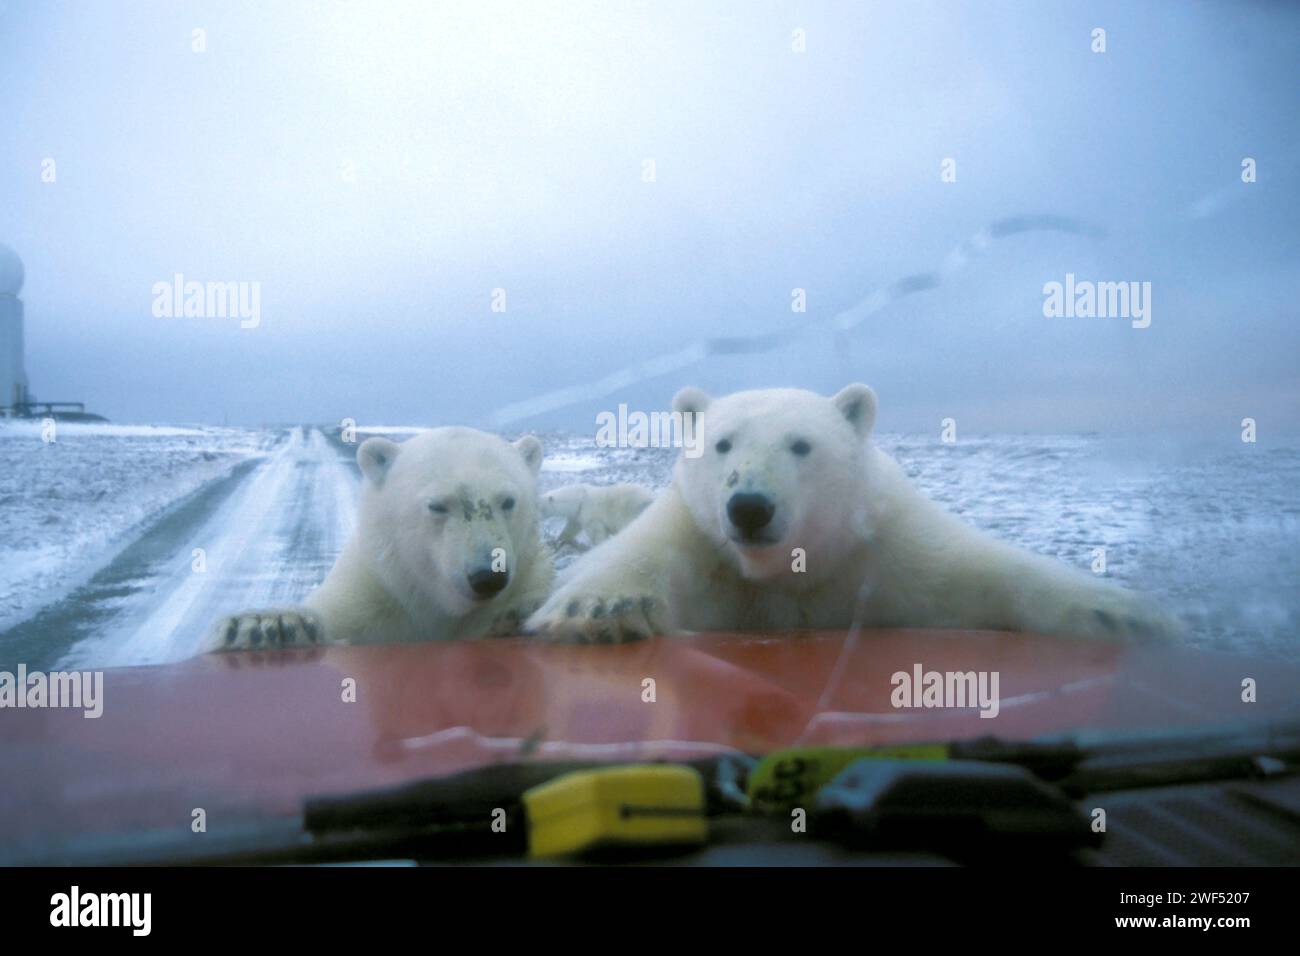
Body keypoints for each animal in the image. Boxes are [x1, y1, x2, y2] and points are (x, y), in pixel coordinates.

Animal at [207, 427, 554, 650]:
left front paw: (520, 617)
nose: (487, 576)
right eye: (438, 505)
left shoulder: (528, 578)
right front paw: (267, 626)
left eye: (507, 501)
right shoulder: (369, 594)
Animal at [527, 384, 1181, 644]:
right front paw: (600, 610)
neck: (785, 573)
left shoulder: (882, 546)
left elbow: (974, 572)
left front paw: (1122, 612)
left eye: (800, 445)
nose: (750, 507)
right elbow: (640, 556)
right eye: (723, 444)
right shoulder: (700, 535)